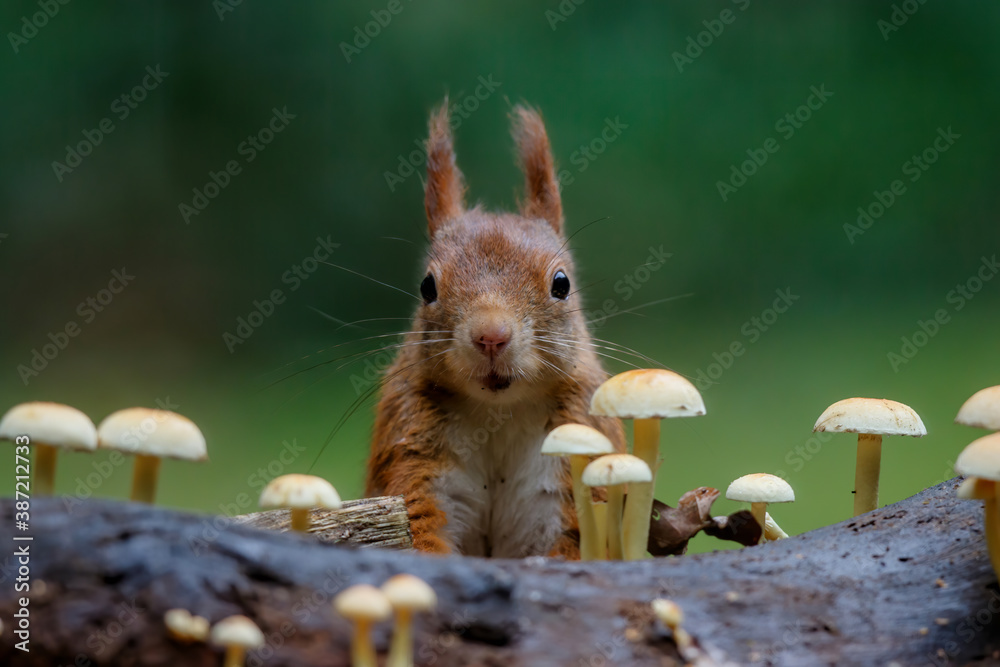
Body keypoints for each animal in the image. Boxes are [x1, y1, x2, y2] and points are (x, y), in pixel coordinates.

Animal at [365, 100, 624, 558]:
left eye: (562, 284)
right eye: (427, 286)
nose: (490, 336)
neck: (497, 412)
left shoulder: (575, 449)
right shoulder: (413, 448)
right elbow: (421, 522)